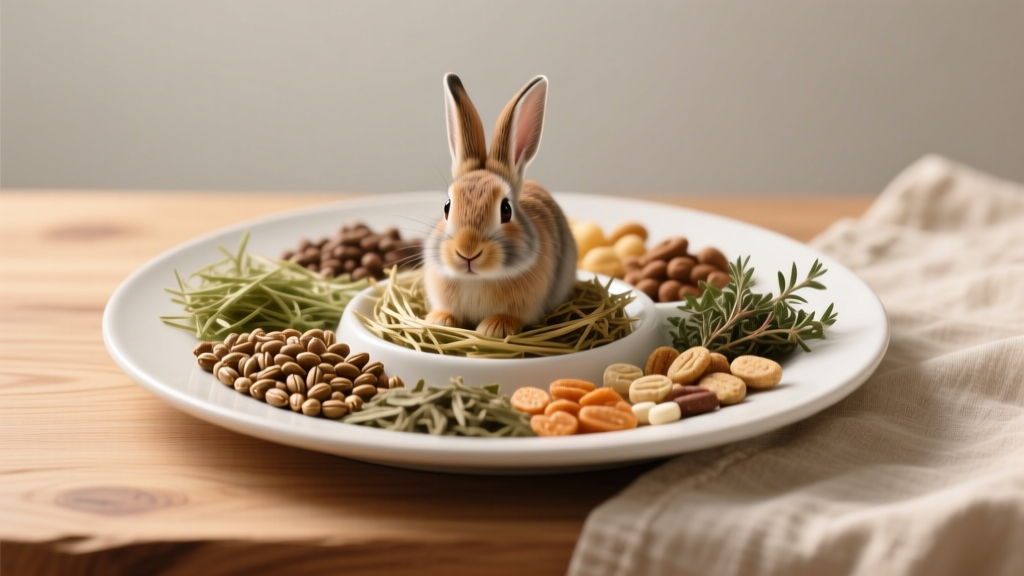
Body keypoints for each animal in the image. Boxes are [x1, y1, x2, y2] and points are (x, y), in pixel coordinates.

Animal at [422, 73, 578, 338]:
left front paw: (493, 328)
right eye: (447, 206)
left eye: (506, 209)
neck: (477, 279)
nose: (468, 251)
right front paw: (439, 321)